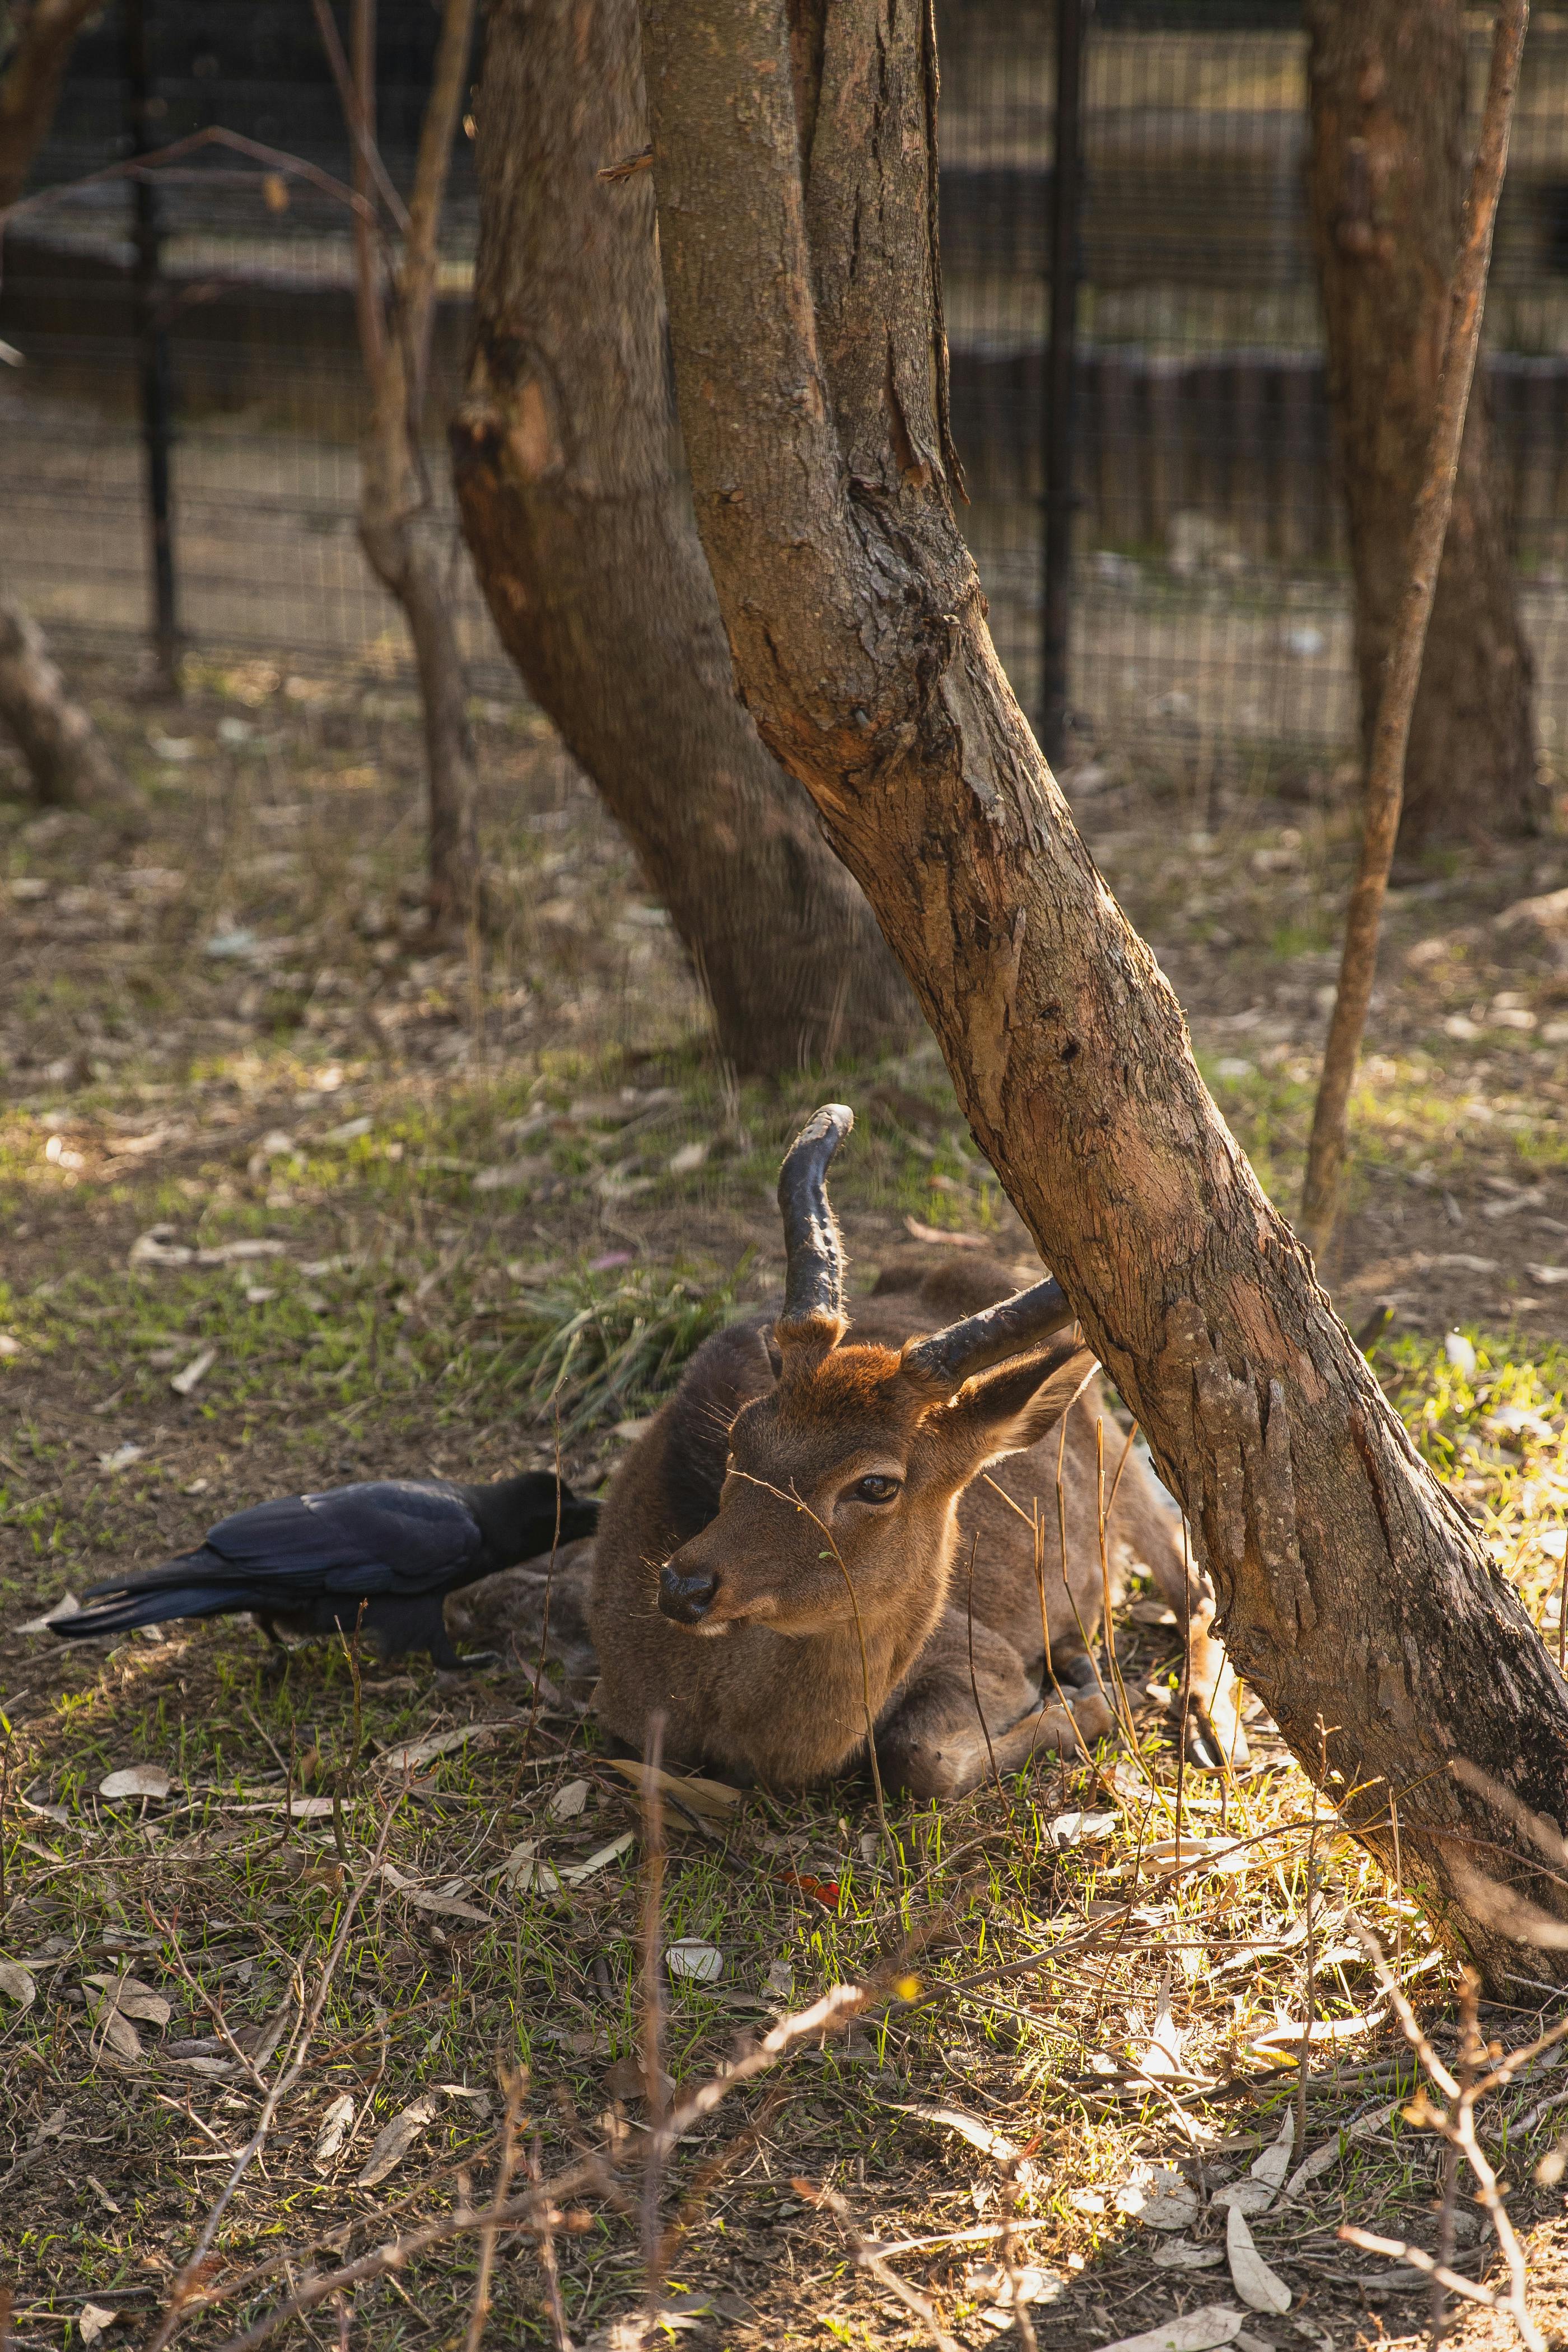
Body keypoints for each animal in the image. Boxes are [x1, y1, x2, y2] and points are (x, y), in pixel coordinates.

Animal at [589, 1104, 1243, 1799]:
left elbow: (914, 1757)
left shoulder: (977, 1656)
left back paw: (1209, 1732)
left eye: (877, 1484)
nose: (683, 1588)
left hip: (1115, 1455)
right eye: (740, 1435)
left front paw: (1088, 1701)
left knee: (1195, 1584)